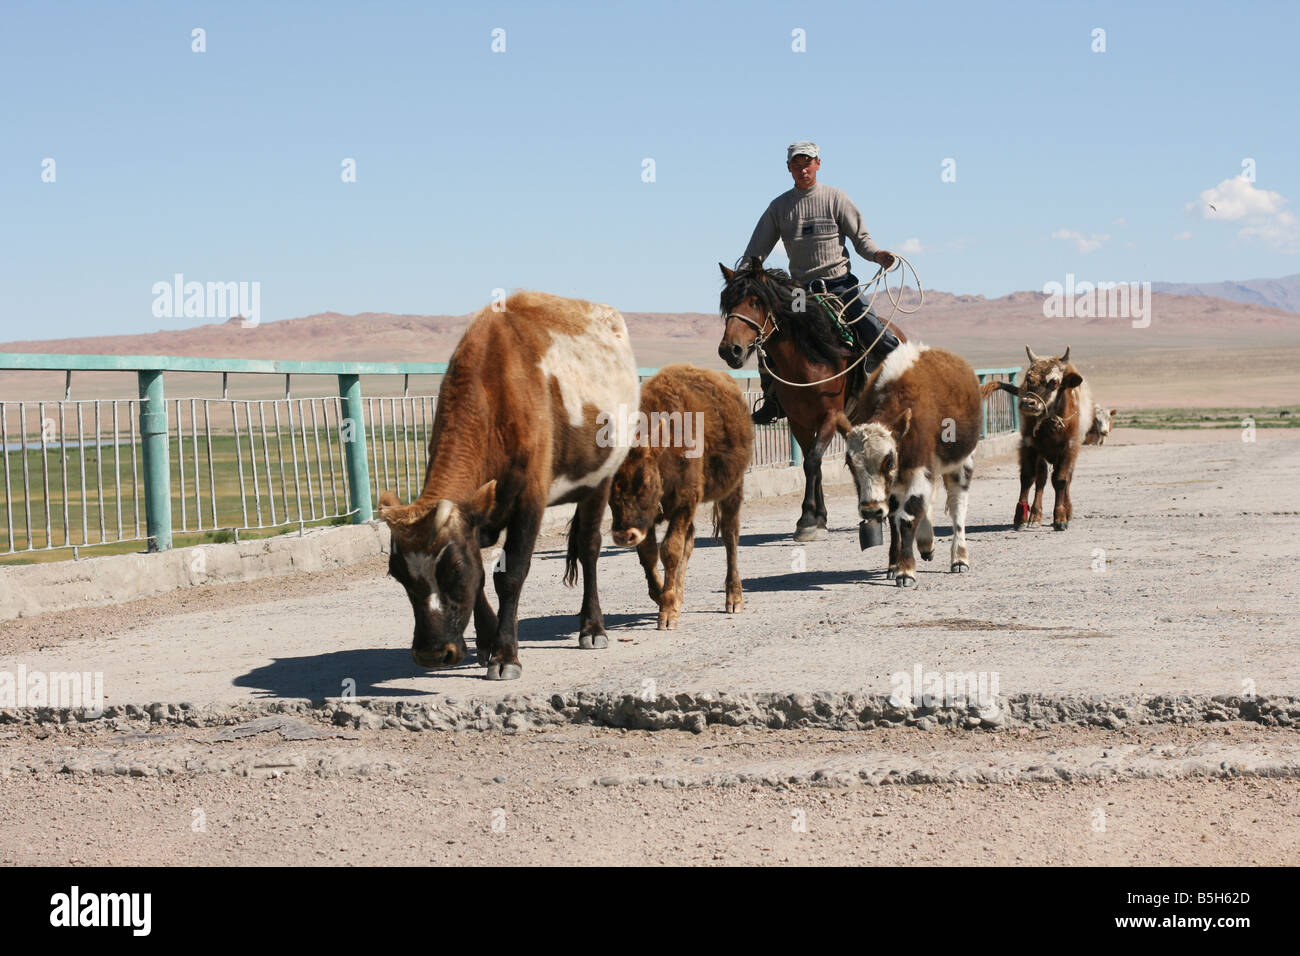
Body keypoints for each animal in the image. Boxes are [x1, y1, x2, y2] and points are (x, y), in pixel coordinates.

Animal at [374, 291, 640, 680]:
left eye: (453, 567)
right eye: (398, 574)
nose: (432, 654)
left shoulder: (529, 499)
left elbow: (510, 574)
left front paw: (505, 655)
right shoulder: (477, 514)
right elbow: (482, 575)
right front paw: (486, 643)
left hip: (600, 479)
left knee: (589, 546)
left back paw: (592, 628)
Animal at [608, 364, 753, 629]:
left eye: (644, 482)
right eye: (610, 487)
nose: (623, 536)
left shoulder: (685, 502)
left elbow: (671, 549)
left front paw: (667, 611)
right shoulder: (650, 519)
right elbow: (650, 554)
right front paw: (665, 595)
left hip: (732, 491)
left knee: (730, 537)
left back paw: (734, 598)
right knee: (692, 538)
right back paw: (679, 594)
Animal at [834, 342, 982, 587]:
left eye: (889, 460)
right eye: (850, 463)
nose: (870, 510)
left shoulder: (920, 470)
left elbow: (907, 517)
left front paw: (906, 571)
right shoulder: (896, 485)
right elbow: (895, 519)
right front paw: (894, 566)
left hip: (961, 465)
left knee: (957, 505)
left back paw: (959, 558)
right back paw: (926, 543)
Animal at [1009, 346, 1094, 531]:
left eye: (1054, 382)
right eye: (1028, 378)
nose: (1028, 403)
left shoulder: (1068, 448)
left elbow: (1061, 480)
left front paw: (1060, 517)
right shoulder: (1029, 445)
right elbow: (1027, 478)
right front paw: (1020, 518)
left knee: (1066, 479)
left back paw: (1067, 511)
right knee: (1041, 480)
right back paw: (1035, 516)